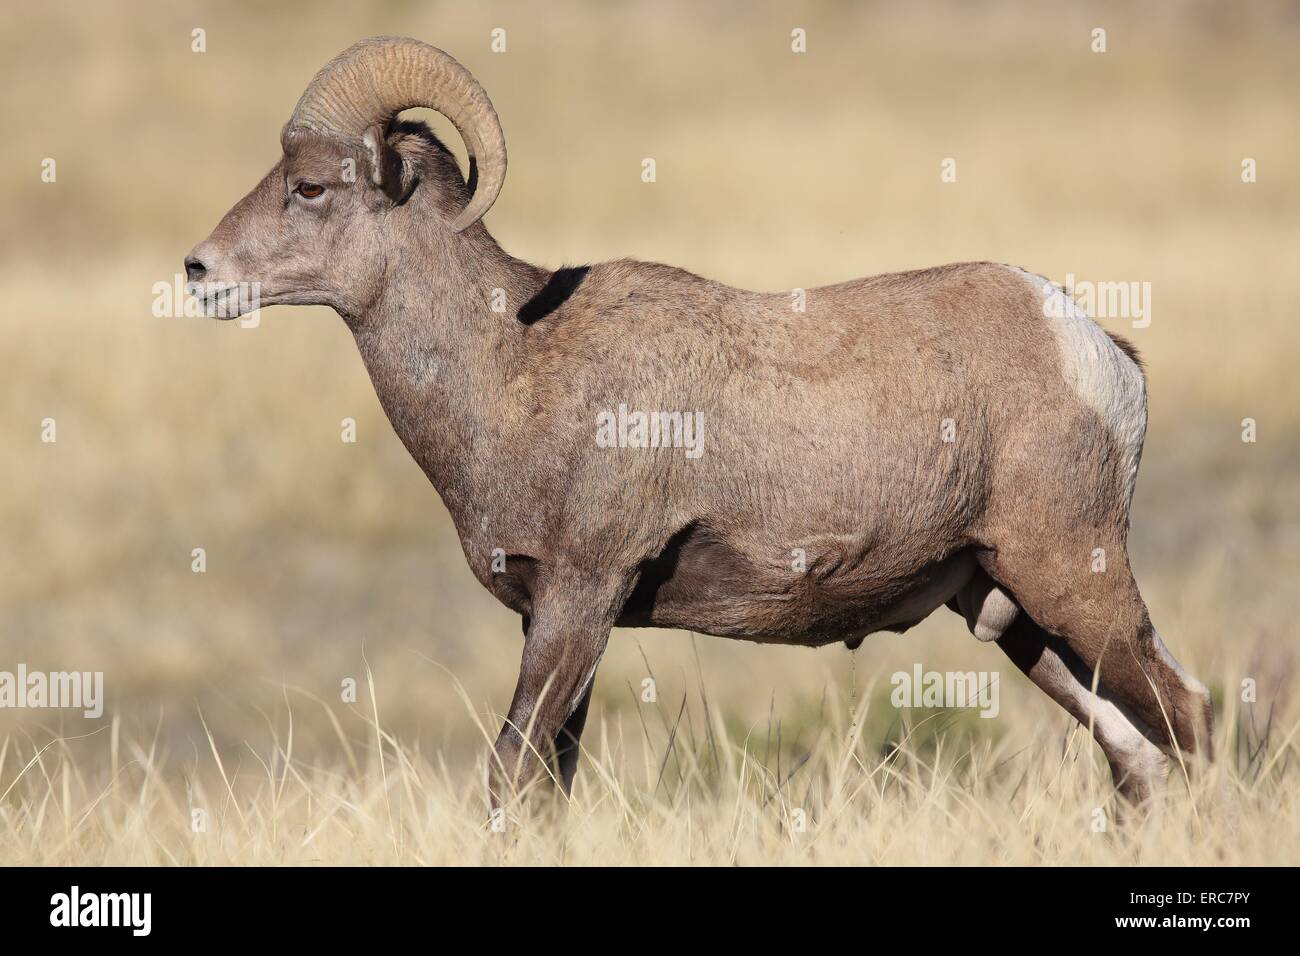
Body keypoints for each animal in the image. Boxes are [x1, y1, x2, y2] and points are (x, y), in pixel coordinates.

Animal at [185, 36, 1213, 804]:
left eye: (310, 187)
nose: (198, 272)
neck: (510, 367)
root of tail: (1093, 344)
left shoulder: (582, 596)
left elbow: (511, 775)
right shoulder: (559, 620)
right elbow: (548, 785)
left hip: (1069, 574)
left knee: (1189, 714)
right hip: (1009, 612)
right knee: (1138, 753)